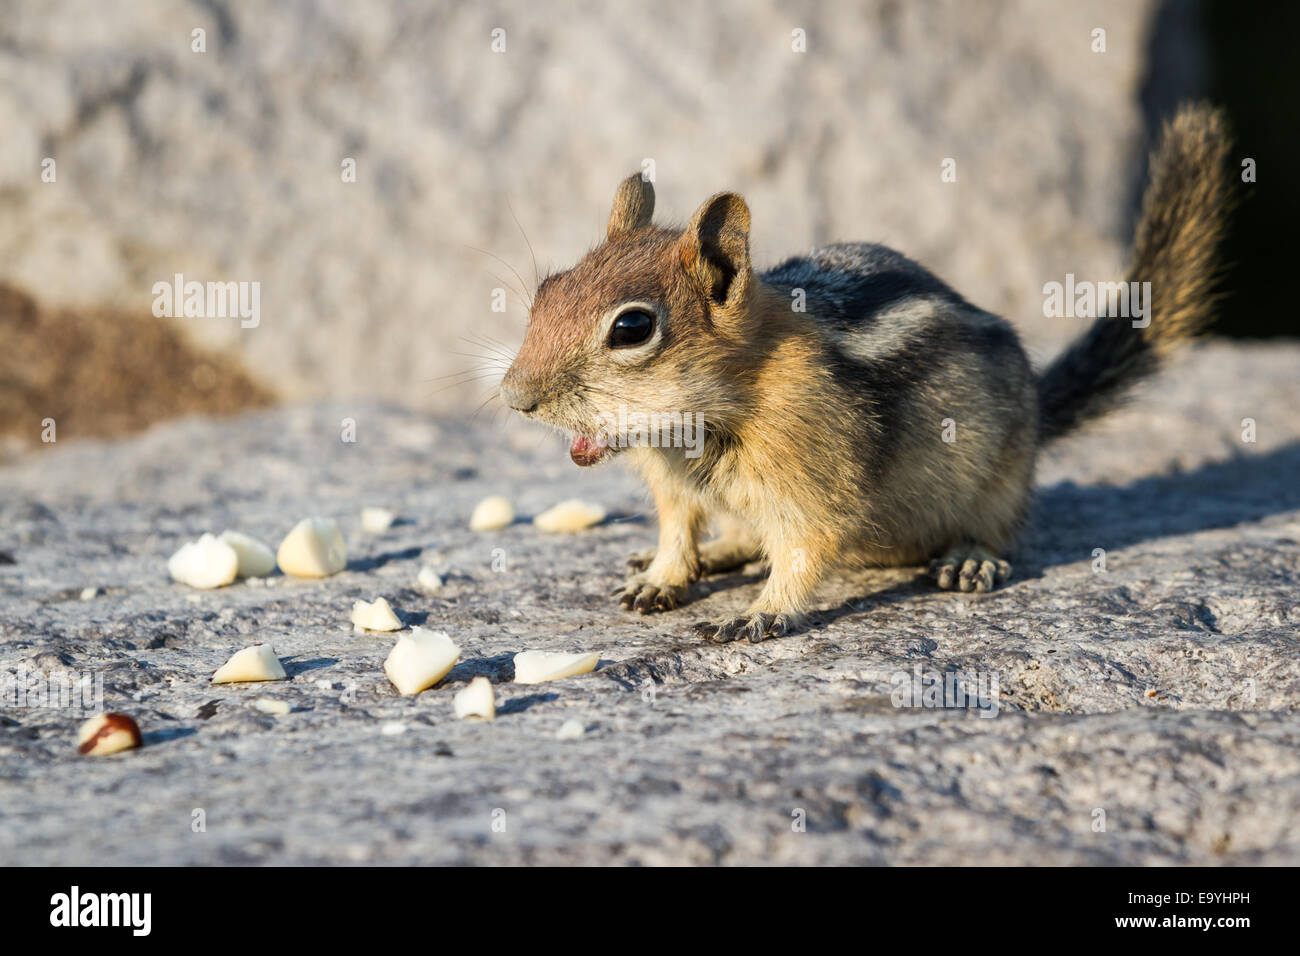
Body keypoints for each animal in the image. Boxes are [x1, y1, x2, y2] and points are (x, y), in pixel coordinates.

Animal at [500, 104, 1234, 644]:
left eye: (632, 328)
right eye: (547, 290)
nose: (515, 398)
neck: (704, 420)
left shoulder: (814, 485)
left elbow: (803, 551)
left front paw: (759, 613)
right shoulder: (674, 487)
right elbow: (676, 533)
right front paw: (659, 576)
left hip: (1002, 477)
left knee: (1002, 529)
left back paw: (970, 557)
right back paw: (727, 551)